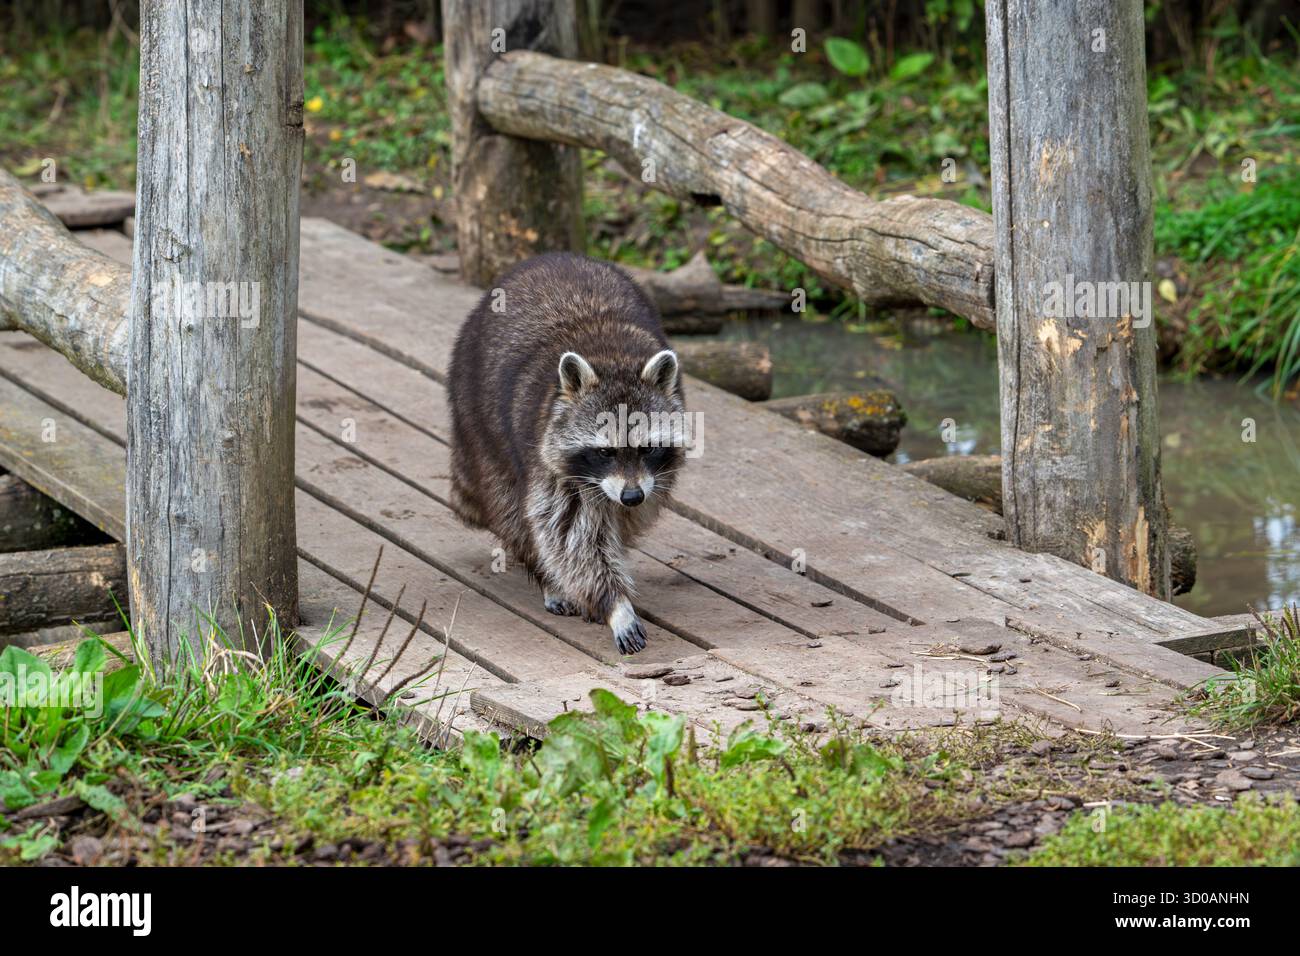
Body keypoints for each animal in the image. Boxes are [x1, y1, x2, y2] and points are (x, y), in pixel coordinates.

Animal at [447, 253, 689, 655]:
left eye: (648, 447)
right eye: (604, 451)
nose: (632, 496)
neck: (612, 356)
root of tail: (551, 258)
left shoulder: (651, 479)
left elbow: (613, 526)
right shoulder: (554, 461)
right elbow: (569, 533)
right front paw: (615, 604)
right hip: (475, 409)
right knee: (511, 506)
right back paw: (547, 577)